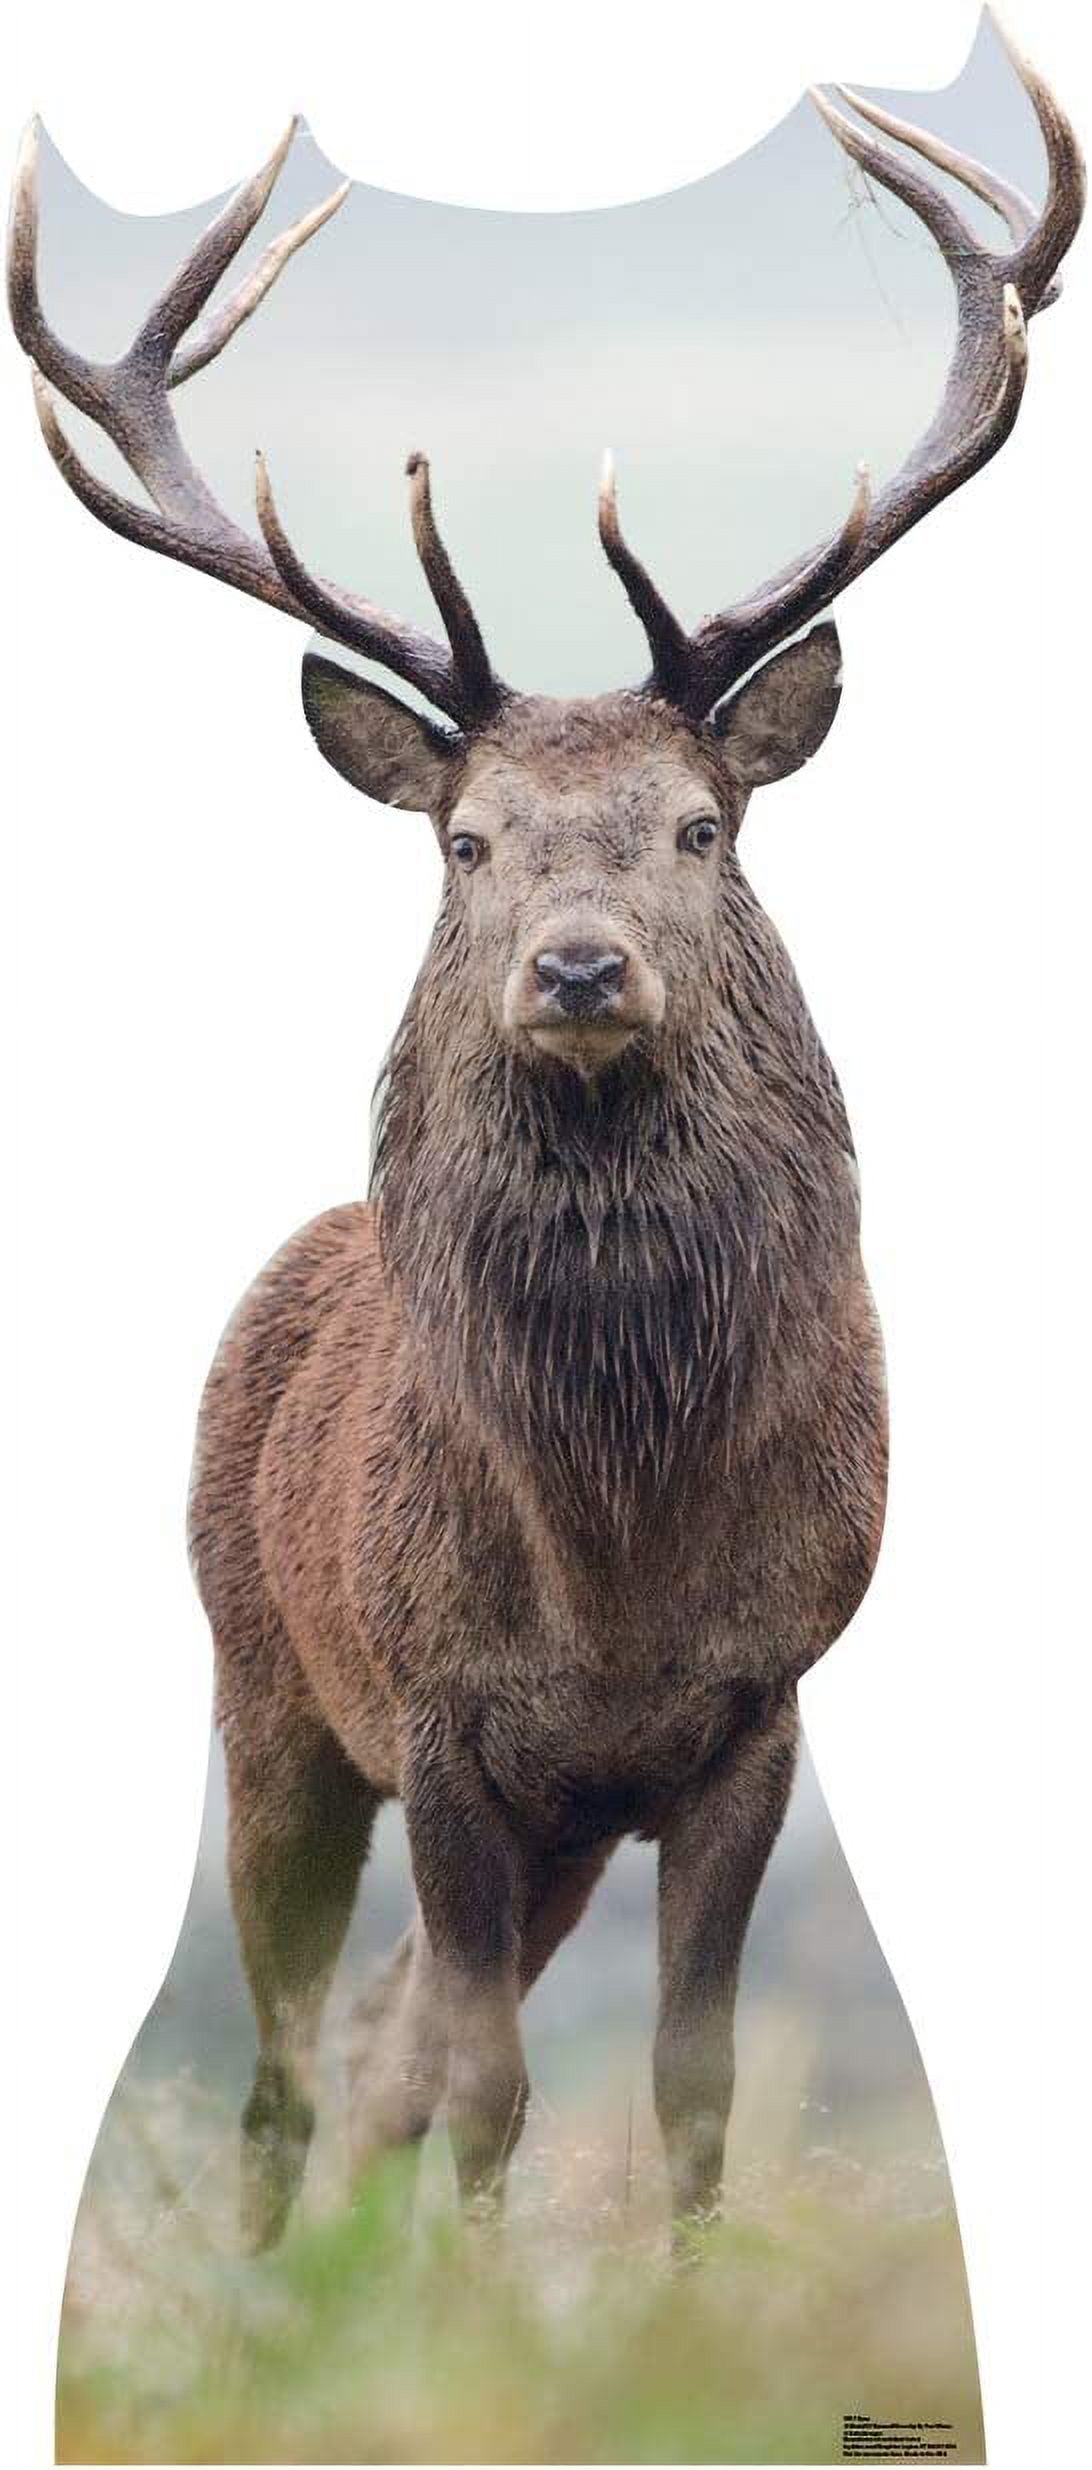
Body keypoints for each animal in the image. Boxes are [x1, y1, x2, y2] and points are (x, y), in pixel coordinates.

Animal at [9, 23, 1082, 2254]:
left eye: (701, 827)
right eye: (467, 840)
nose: (579, 969)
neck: (613, 1549)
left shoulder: (753, 1709)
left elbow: (683, 2083)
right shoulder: (444, 1718)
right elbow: (496, 2087)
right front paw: (471, 2302)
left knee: (380, 2053)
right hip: (264, 1695)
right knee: (295, 2064)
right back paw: (281, 2294)